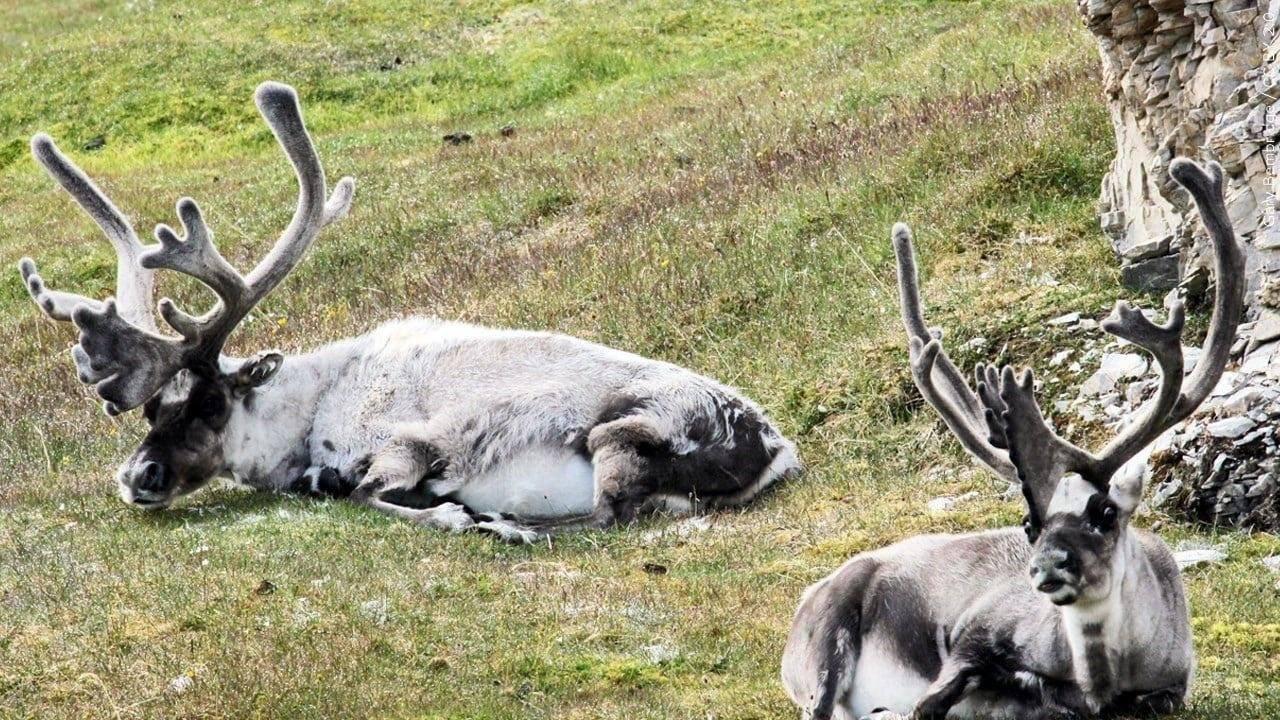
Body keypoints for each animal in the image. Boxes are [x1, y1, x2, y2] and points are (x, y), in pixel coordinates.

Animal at [18, 82, 801, 543]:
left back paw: (502, 522)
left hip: (620, 433)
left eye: (210, 403)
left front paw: (455, 509)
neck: (314, 401)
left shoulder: (407, 440)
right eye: (153, 408)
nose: (137, 477)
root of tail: (775, 448)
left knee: (610, 514)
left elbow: (371, 490)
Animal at [781, 157, 1243, 719]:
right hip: (826, 646)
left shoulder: (1171, 688)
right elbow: (937, 697)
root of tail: (808, 597)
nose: (1045, 568)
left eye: (1105, 512)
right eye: (1029, 523)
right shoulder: (974, 636)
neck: (1100, 678)